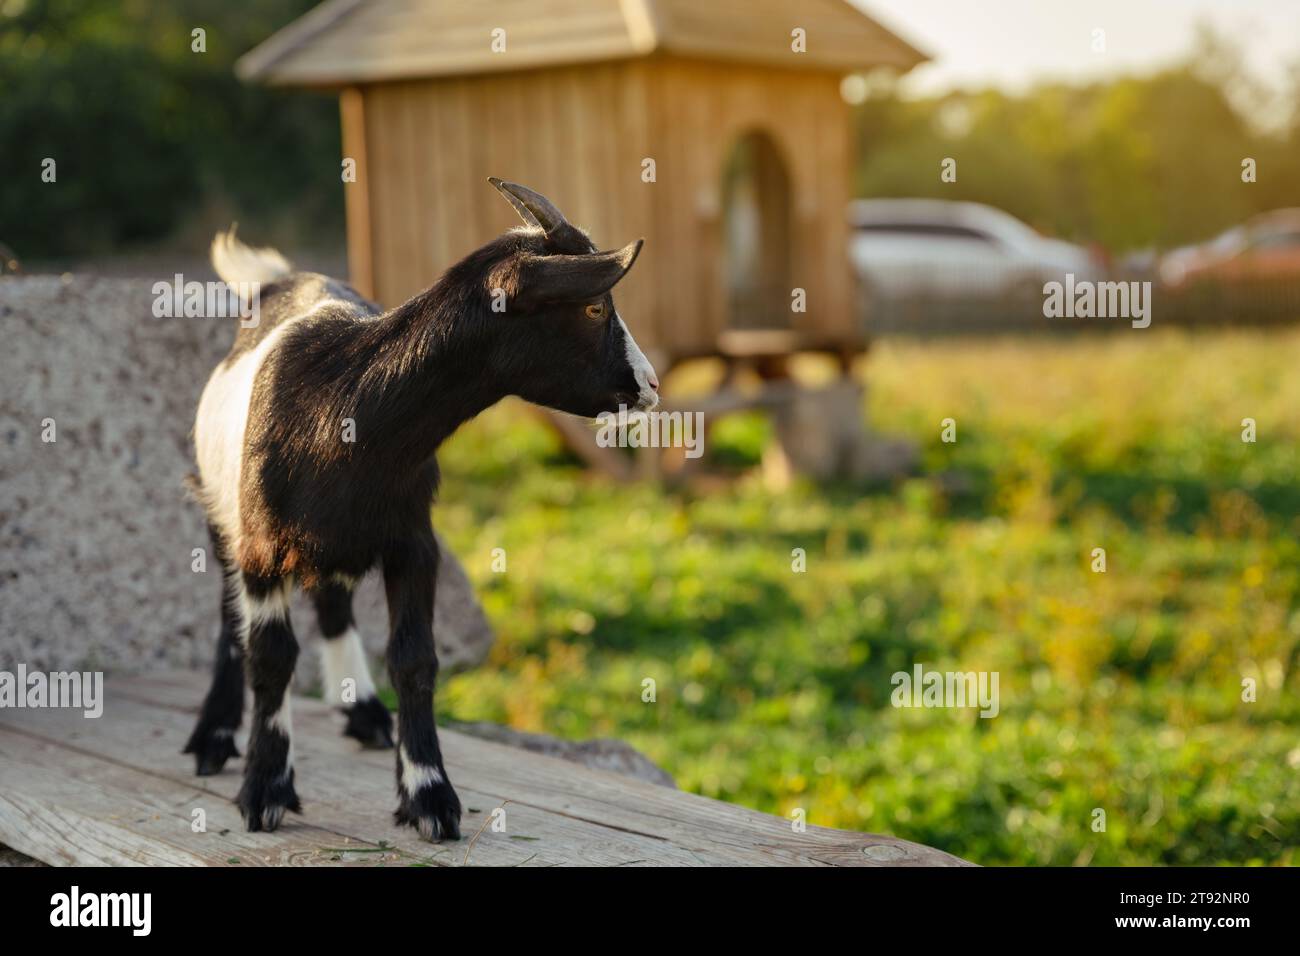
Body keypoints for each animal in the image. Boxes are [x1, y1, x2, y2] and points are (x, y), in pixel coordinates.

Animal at [183, 179, 659, 841]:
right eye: (593, 307)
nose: (651, 384)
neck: (336, 410)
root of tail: (280, 281)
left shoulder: (413, 541)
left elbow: (414, 659)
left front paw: (429, 795)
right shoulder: (263, 546)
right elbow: (271, 658)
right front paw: (265, 790)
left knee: (332, 601)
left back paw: (364, 715)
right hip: (221, 513)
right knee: (232, 622)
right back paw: (214, 736)